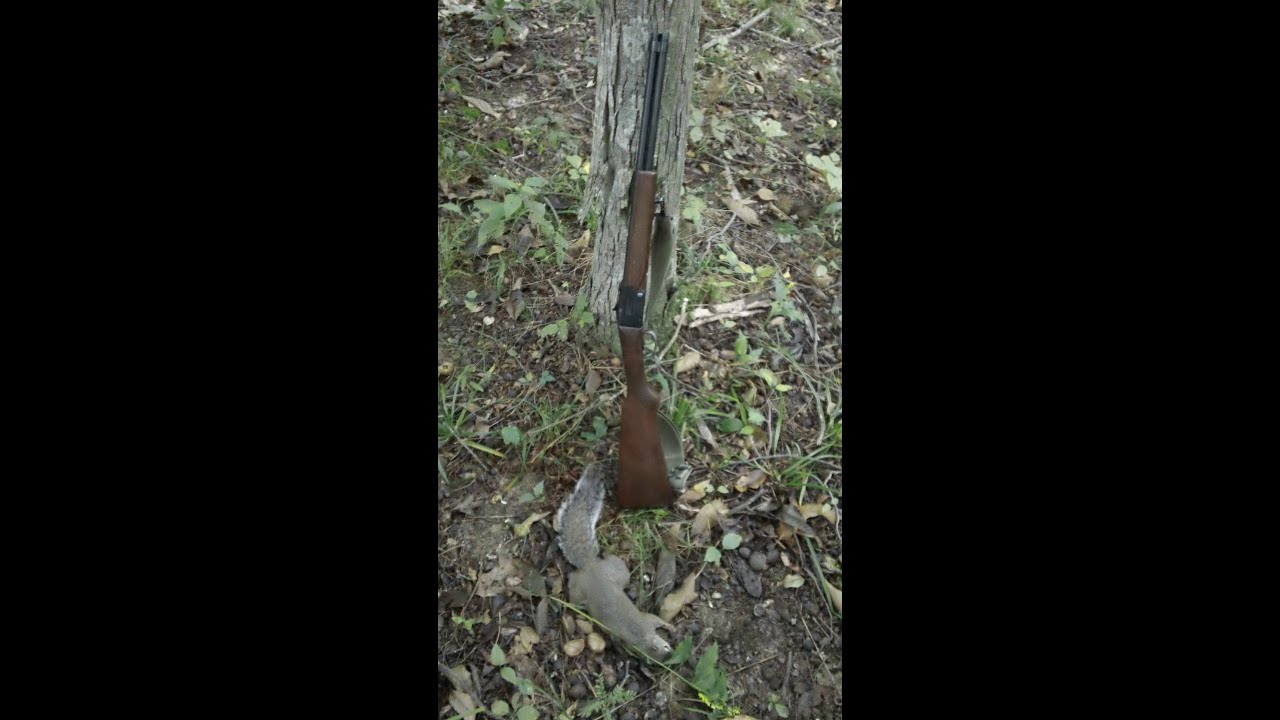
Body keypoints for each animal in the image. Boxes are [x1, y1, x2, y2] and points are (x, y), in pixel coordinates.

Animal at [556, 462, 676, 659]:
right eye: (664, 649)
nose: (671, 653)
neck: (641, 637)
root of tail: (589, 564)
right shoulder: (644, 624)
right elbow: (652, 620)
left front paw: (670, 627)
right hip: (579, 593)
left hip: (618, 575)